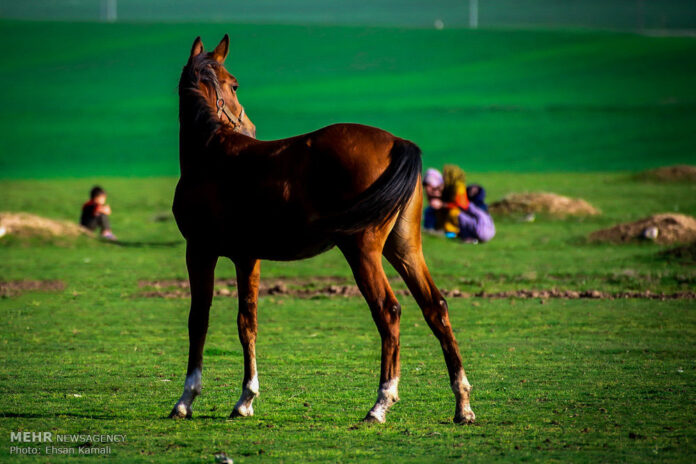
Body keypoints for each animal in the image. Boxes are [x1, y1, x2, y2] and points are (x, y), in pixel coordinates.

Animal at [169, 34, 475, 424]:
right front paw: (245, 399)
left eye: (235, 83)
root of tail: (396, 142)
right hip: (404, 248)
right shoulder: (247, 257)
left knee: (388, 311)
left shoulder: (199, 250)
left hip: (362, 250)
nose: (250, 129)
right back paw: (462, 403)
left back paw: (381, 403)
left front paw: (186, 398)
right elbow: (246, 321)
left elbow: (199, 320)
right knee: (435, 307)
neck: (211, 152)